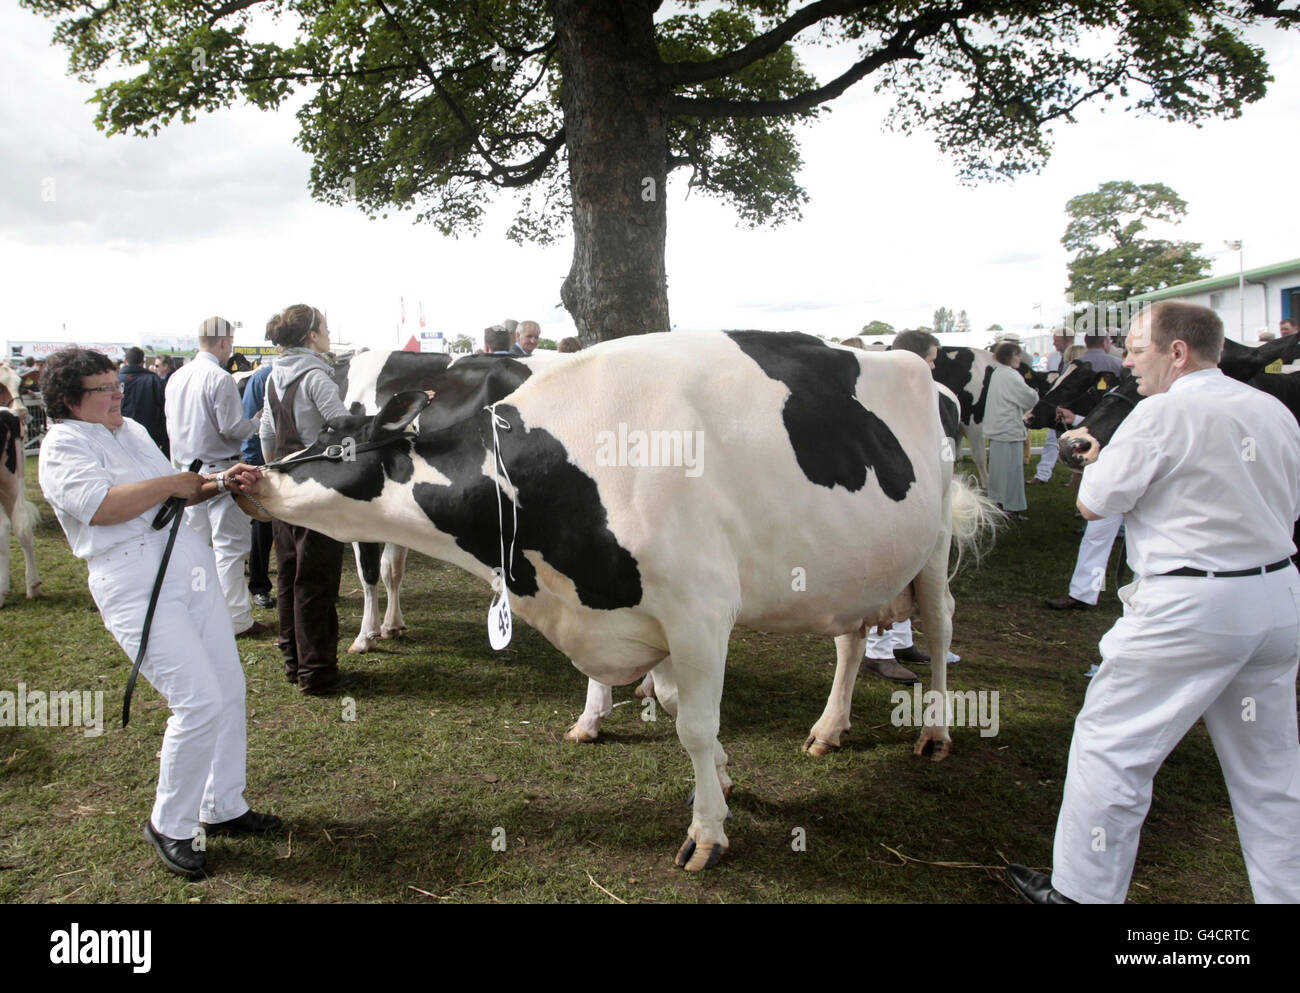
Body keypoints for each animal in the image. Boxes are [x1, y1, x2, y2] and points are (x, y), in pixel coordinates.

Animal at [237, 330, 993, 870]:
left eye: (334, 439)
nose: (244, 474)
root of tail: (917, 362)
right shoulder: (641, 616)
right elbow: (683, 712)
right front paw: (721, 778)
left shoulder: (700, 611)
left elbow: (695, 726)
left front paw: (707, 832)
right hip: (851, 567)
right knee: (848, 639)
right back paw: (829, 728)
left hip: (930, 551)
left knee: (941, 625)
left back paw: (935, 732)